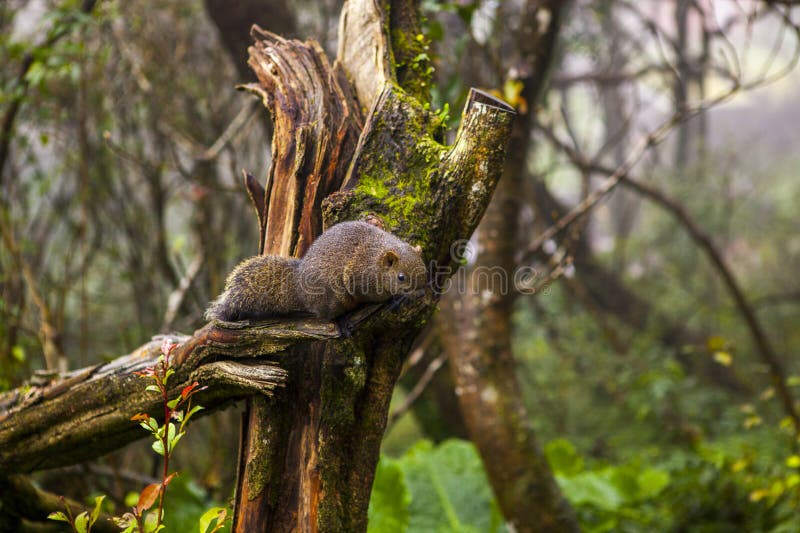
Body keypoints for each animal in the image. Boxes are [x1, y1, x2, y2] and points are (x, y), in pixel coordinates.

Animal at [204, 221, 427, 322]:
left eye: (425, 269)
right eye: (401, 277)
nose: (422, 293)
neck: (375, 261)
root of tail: (298, 287)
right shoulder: (359, 277)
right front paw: (393, 299)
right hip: (333, 298)